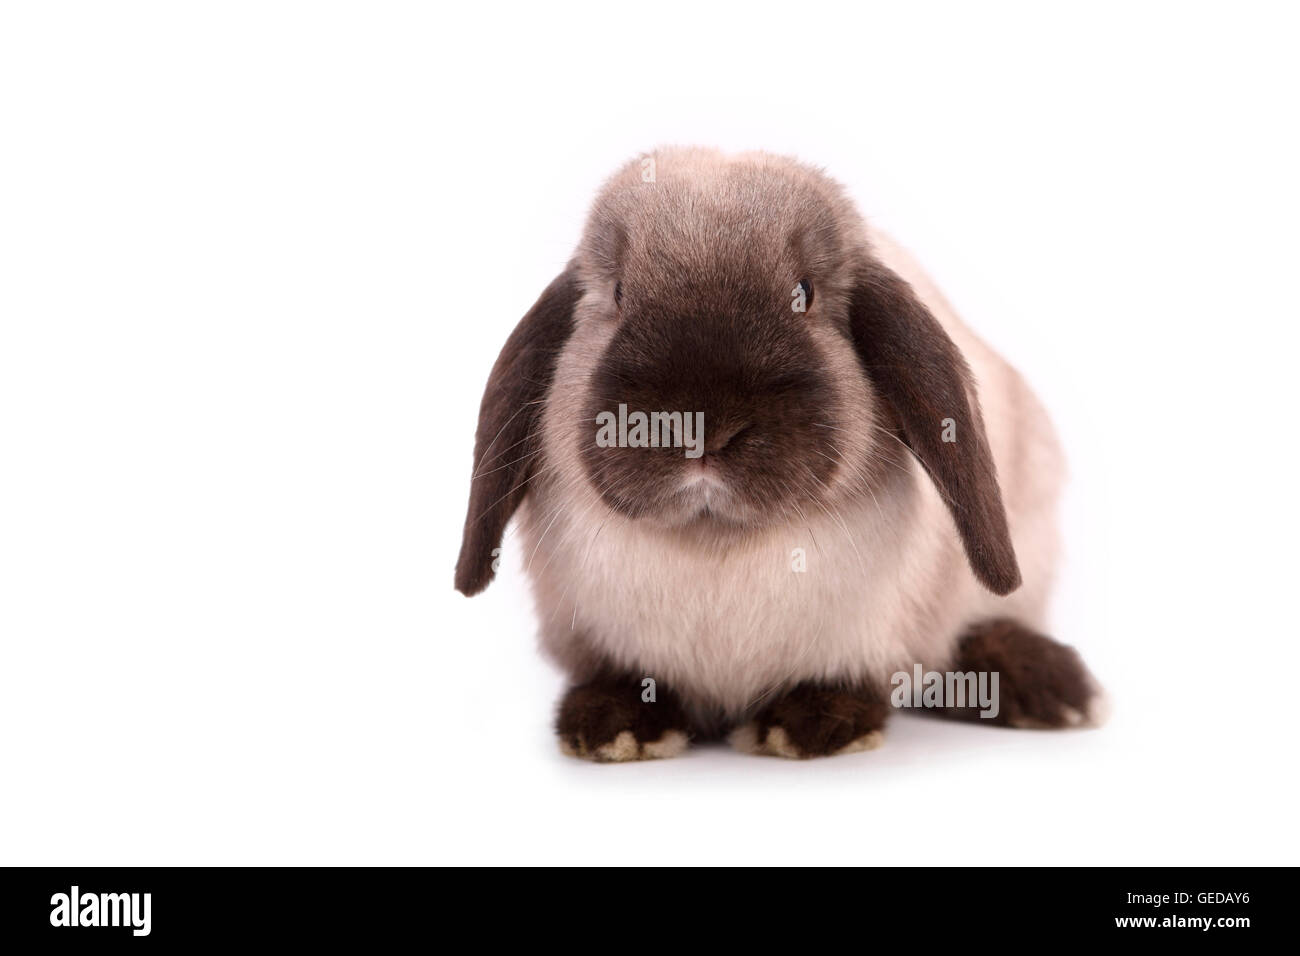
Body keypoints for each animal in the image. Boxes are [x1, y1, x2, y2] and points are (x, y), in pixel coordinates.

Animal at [455, 147, 1104, 761]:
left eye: (804, 294)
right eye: (617, 294)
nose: (700, 428)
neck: (713, 541)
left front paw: (811, 724)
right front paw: (614, 726)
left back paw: (1048, 688)